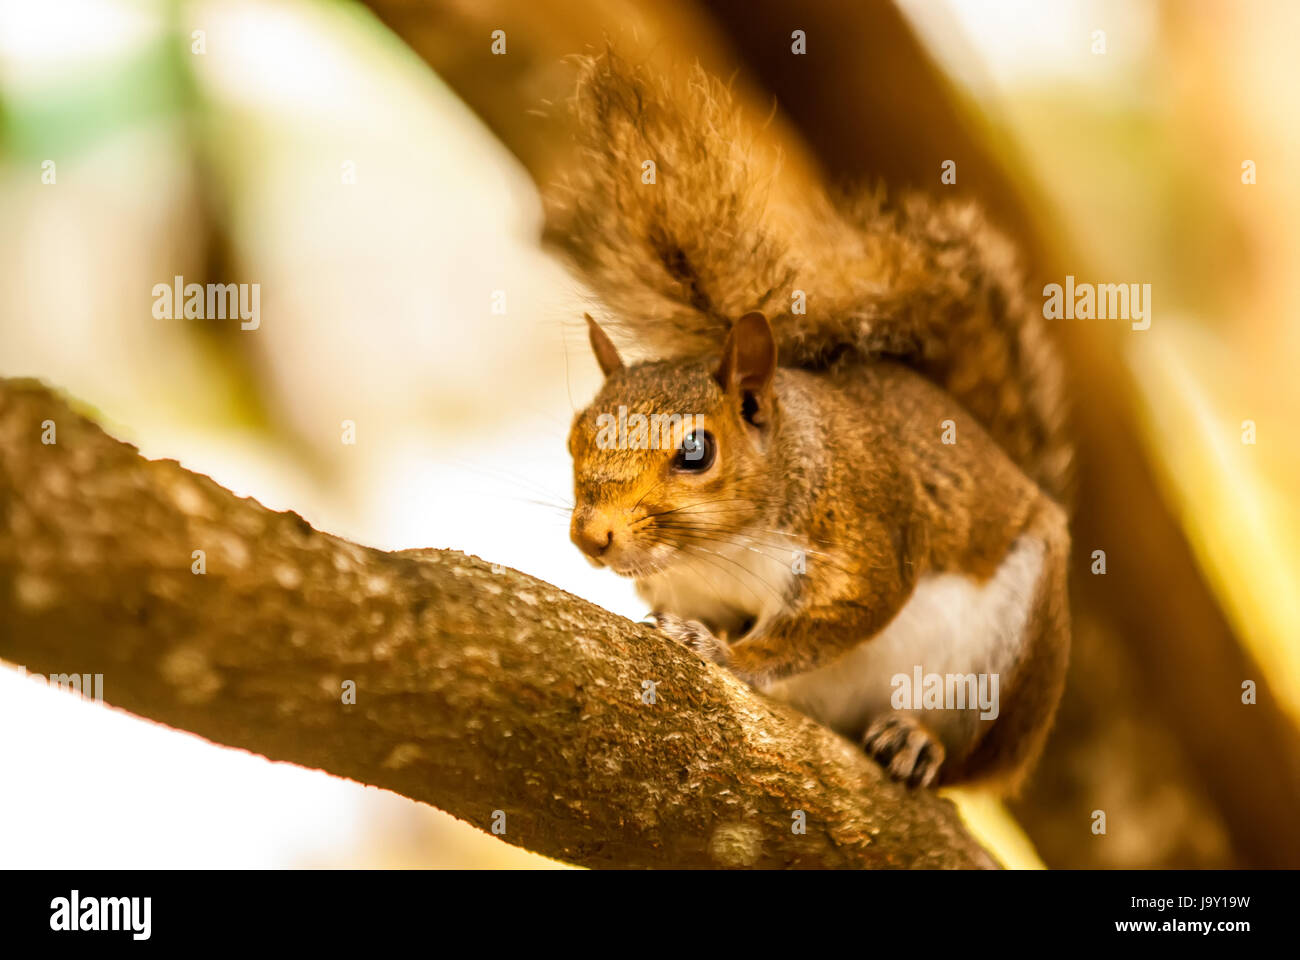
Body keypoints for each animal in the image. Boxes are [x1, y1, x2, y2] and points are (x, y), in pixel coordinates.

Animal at [545, 52, 1072, 793]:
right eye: (574, 436)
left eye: (697, 452)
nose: (592, 538)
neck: (716, 554)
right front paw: (688, 629)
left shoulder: (866, 540)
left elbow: (825, 624)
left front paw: (729, 655)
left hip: (1018, 659)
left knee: (973, 765)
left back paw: (924, 743)